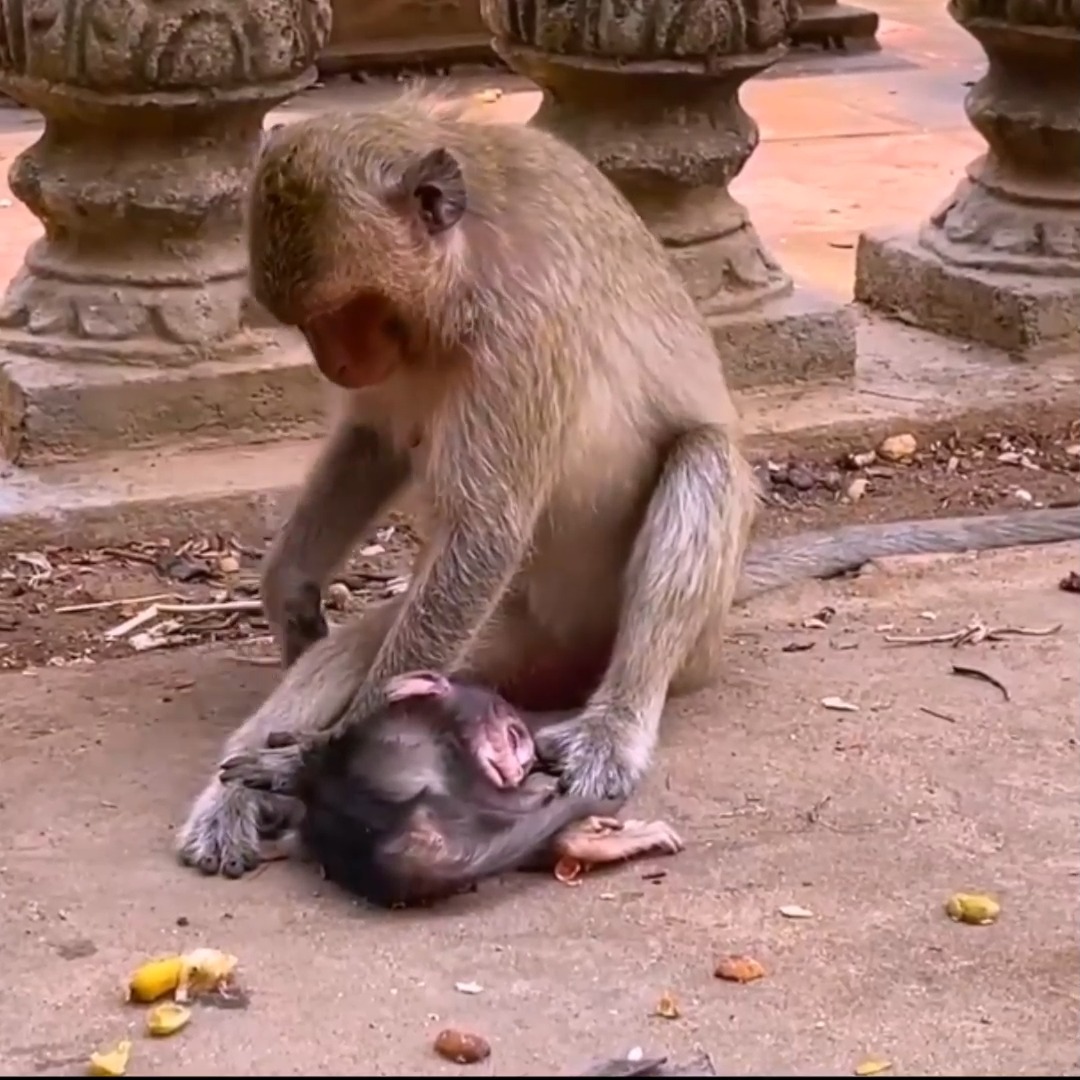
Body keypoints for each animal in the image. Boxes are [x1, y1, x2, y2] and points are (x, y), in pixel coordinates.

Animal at [176, 91, 1080, 879]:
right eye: (311, 326)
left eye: (350, 314)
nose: (336, 362)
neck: (461, 266)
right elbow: (375, 444)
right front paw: (290, 594)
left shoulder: (521, 326)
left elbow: (486, 531)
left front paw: (327, 765)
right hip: (509, 645)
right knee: (361, 646)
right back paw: (233, 800)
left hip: (644, 644)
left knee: (701, 462)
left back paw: (611, 731)